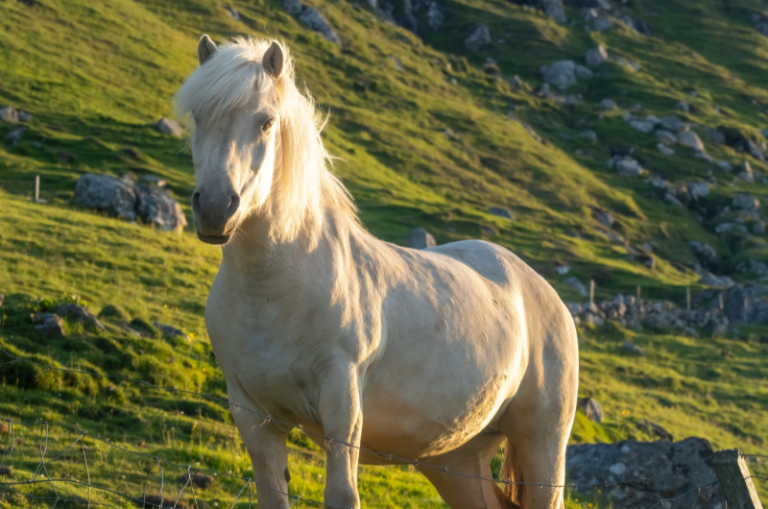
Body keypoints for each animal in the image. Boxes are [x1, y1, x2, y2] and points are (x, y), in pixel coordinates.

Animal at [175, 35, 579, 509]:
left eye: (266, 122)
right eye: (199, 117)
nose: (215, 208)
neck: (277, 288)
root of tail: (546, 295)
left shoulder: (342, 402)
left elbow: (341, 494)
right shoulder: (253, 415)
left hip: (543, 445)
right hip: (457, 458)